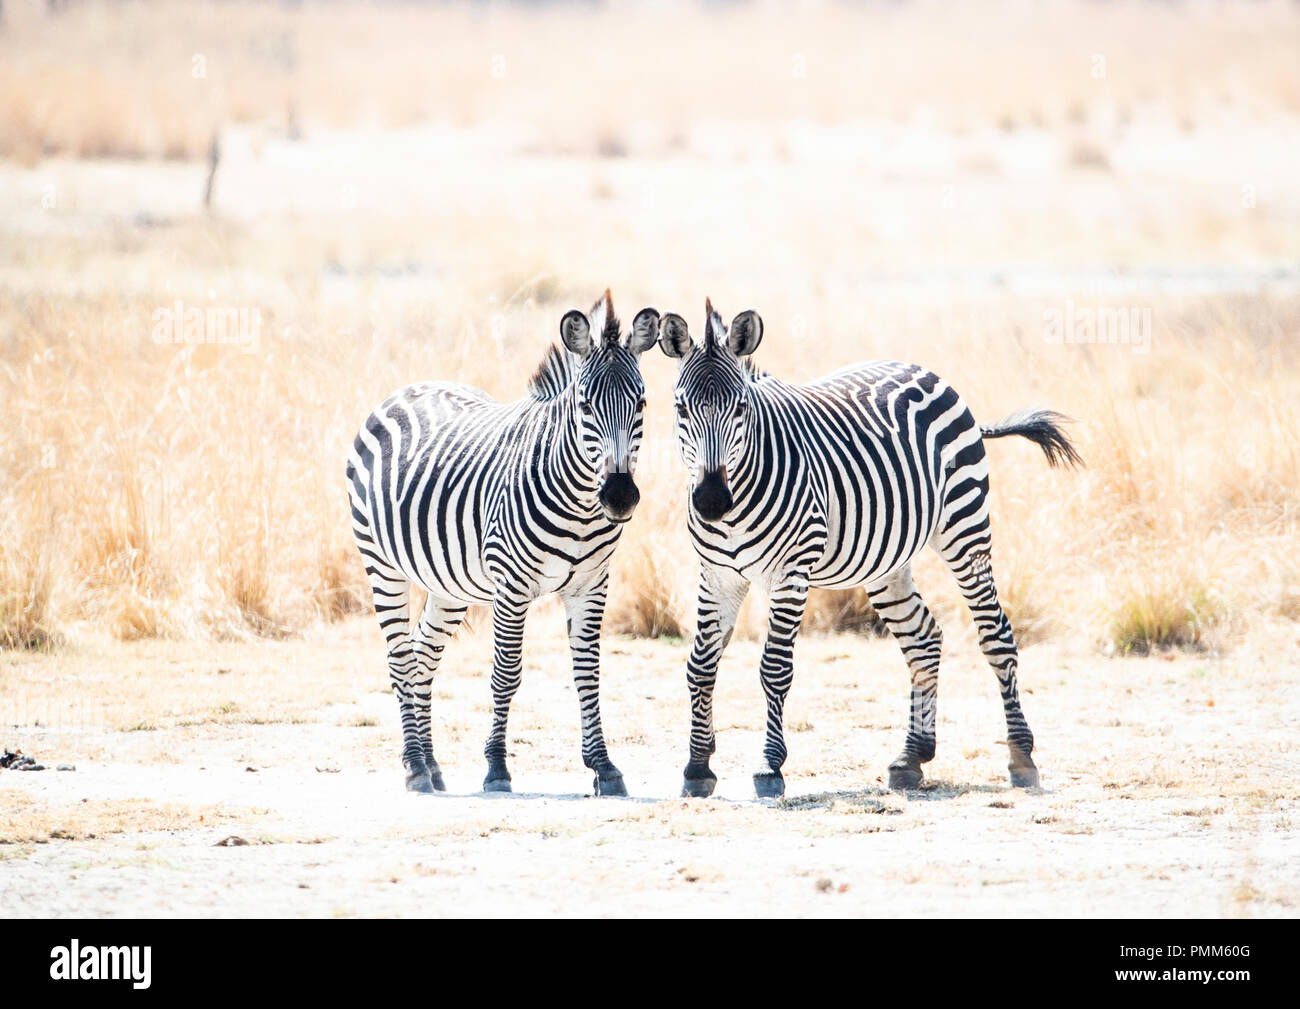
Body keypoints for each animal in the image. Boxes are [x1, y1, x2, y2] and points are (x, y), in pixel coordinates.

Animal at [346, 291, 659, 796]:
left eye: (642, 402)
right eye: (585, 405)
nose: (619, 496)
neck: (580, 504)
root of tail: (406, 389)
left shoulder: (591, 585)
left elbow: (588, 674)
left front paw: (604, 766)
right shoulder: (511, 586)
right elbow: (506, 675)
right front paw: (496, 768)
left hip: (447, 585)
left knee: (422, 656)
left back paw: (431, 765)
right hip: (382, 565)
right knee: (399, 657)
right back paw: (414, 766)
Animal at [657, 300, 1082, 799]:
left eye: (741, 407)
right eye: (681, 407)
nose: (710, 501)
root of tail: (929, 373)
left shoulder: (791, 573)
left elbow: (774, 667)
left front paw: (769, 767)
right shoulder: (717, 575)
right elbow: (700, 665)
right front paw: (697, 767)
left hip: (965, 528)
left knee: (996, 634)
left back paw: (1021, 756)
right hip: (886, 563)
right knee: (923, 638)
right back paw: (911, 757)